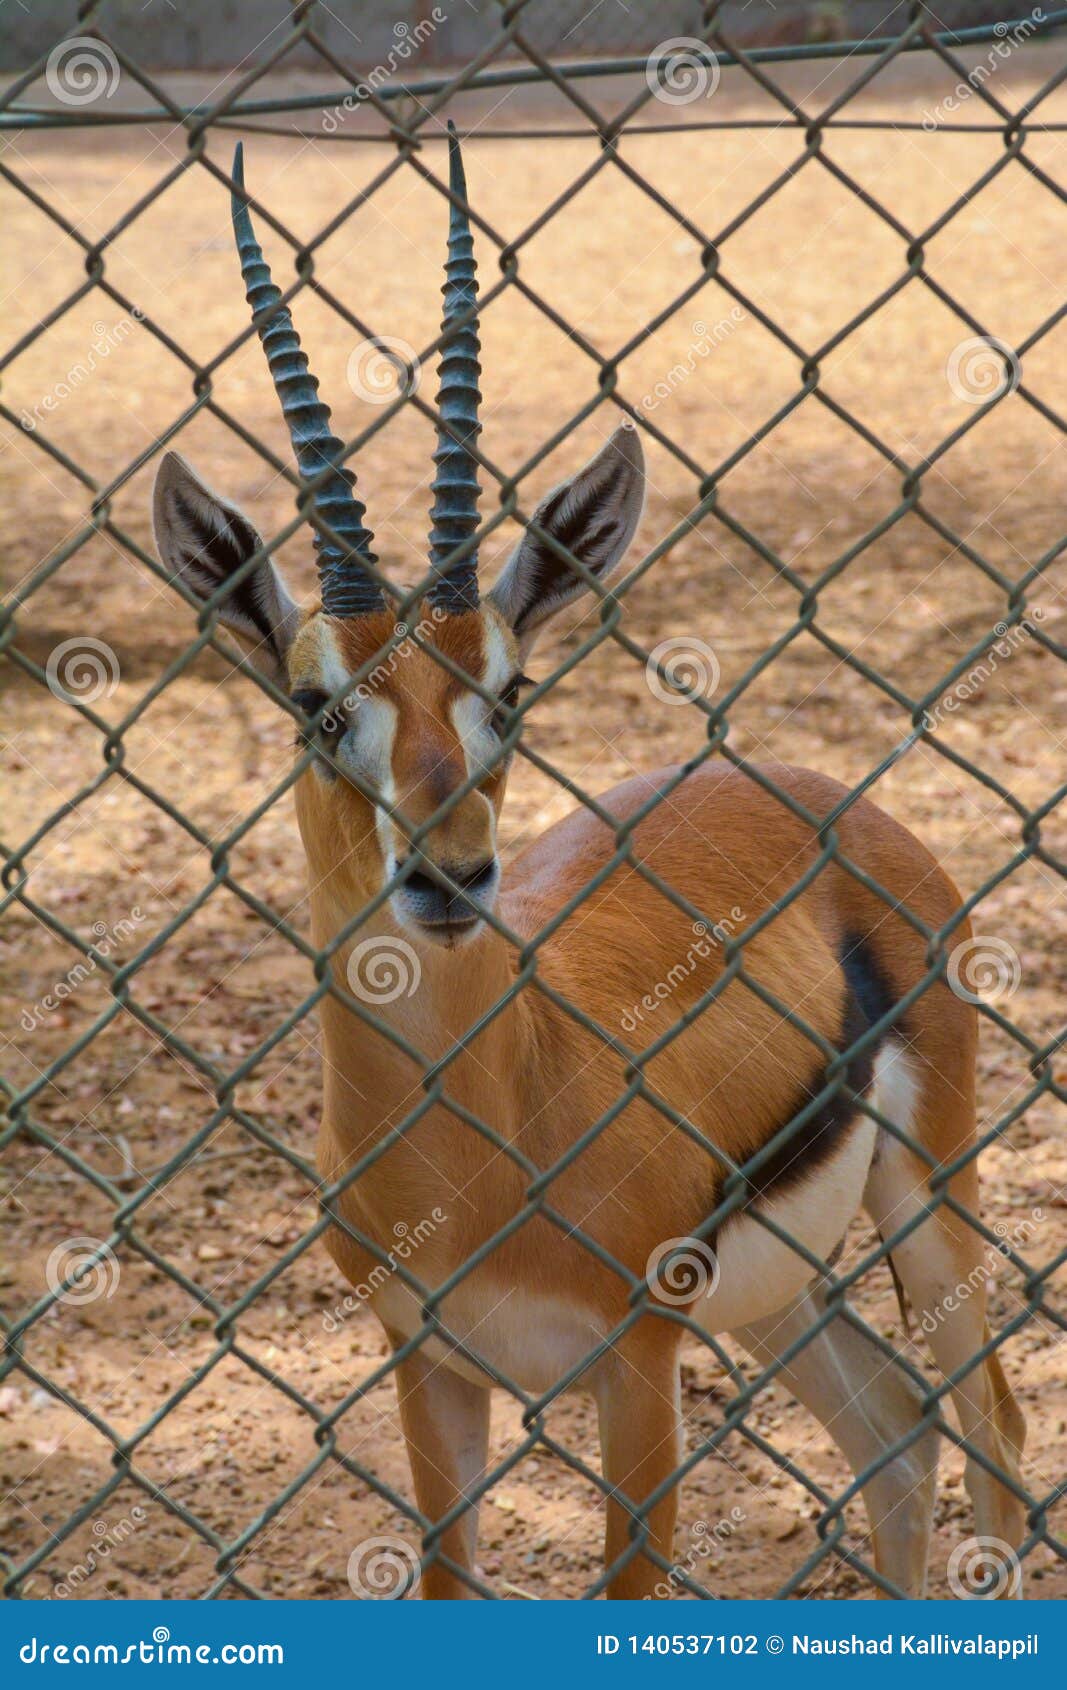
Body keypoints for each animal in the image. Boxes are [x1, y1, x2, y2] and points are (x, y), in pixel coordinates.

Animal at [151, 130, 1026, 1600]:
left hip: (928, 1197)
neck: (481, 1132)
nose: (449, 877)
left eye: (508, 690)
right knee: (896, 1436)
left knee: (991, 1442)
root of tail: (829, 804)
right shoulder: (430, 1365)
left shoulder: (633, 1363)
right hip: (779, 1296)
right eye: (315, 704)